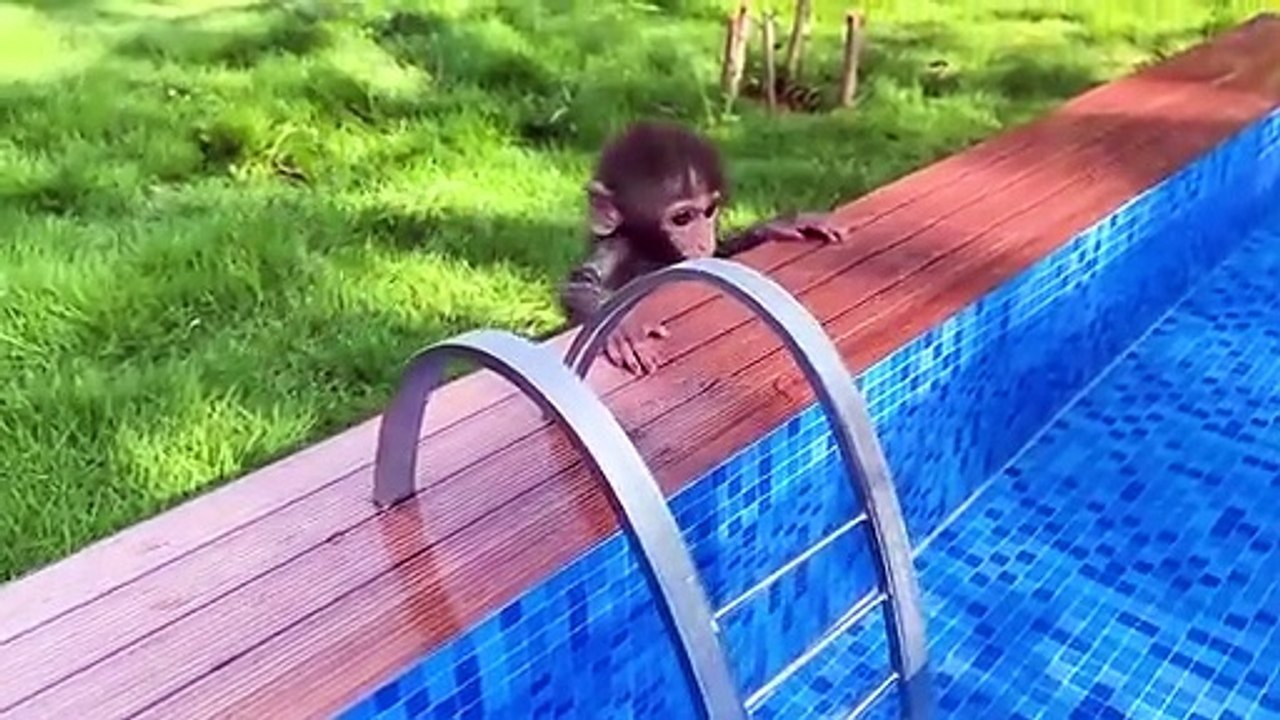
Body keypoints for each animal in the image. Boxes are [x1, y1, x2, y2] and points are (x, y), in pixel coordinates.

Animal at [559, 120, 843, 375]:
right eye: (682, 218)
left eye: (709, 211)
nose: (703, 240)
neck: (652, 250)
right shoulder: (617, 246)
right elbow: (581, 282)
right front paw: (621, 327)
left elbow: (721, 254)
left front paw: (779, 224)